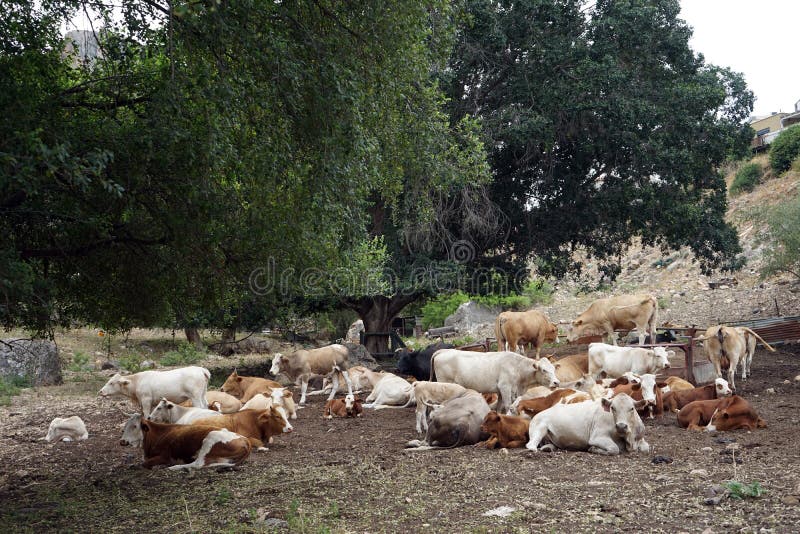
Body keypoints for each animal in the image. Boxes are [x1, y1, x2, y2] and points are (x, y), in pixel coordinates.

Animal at [119, 414, 251, 469]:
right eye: (125, 426)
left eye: (134, 426)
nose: (122, 441)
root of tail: (245, 439)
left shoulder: (165, 456)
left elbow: (145, 463)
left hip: (209, 441)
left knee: (198, 464)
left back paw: (175, 467)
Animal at [430, 349, 559, 414]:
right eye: (544, 370)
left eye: (553, 368)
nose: (556, 382)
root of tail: (443, 351)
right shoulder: (505, 387)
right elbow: (507, 405)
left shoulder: (501, 390)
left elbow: (499, 406)